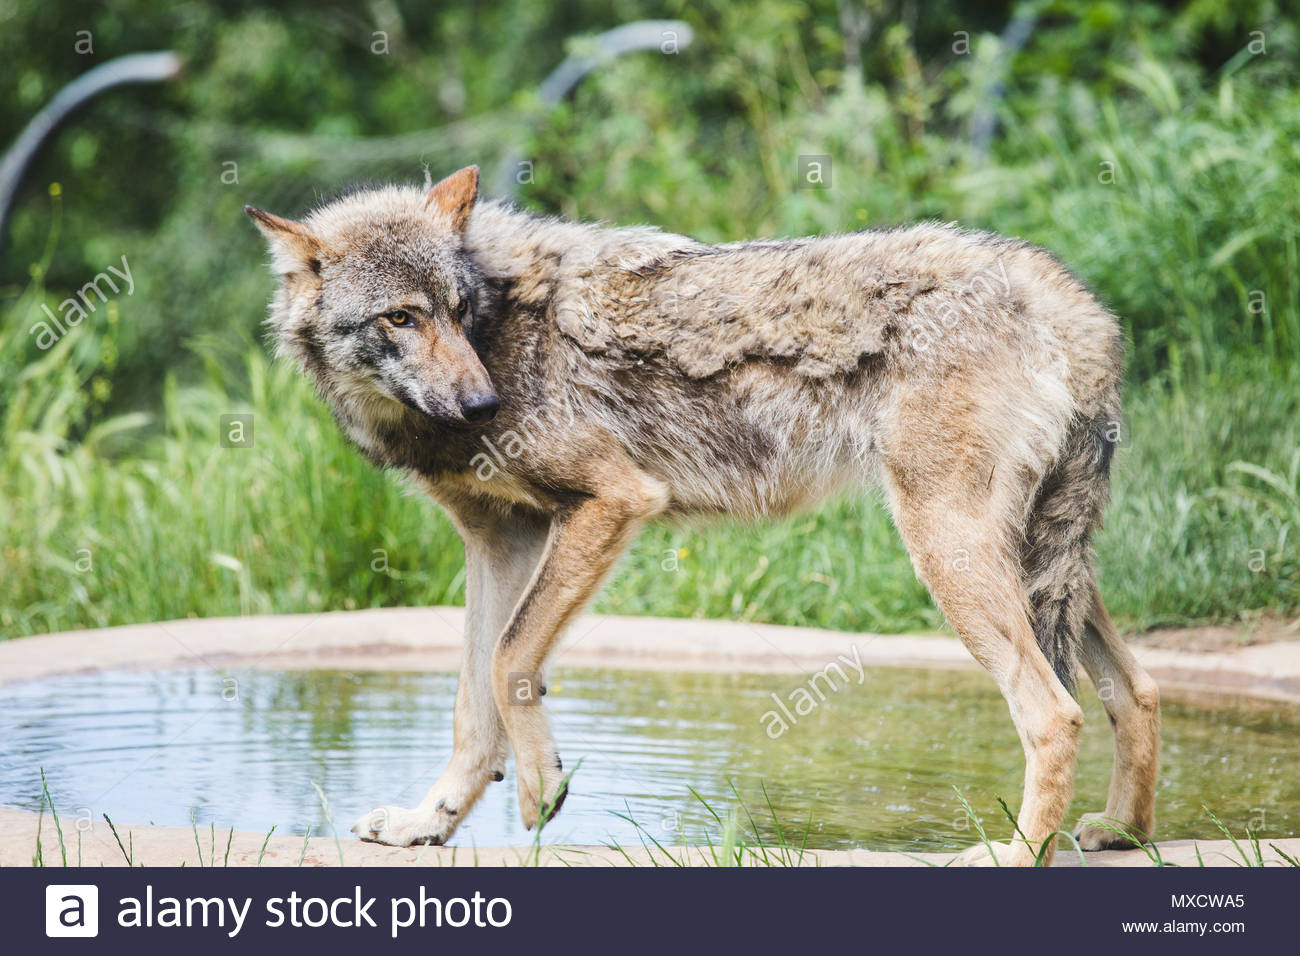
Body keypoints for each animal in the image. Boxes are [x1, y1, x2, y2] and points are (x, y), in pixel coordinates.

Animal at [247, 165, 1160, 865]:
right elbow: (475, 704)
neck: (501, 329)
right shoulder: (498, 540)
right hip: (1038, 564)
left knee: (1055, 712)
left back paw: (1016, 852)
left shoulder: (614, 502)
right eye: (402, 316)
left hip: (951, 554)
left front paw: (543, 790)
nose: (481, 404)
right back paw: (1122, 832)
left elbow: (509, 663)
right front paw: (424, 827)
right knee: (1138, 689)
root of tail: (1066, 294)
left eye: (456, 307)